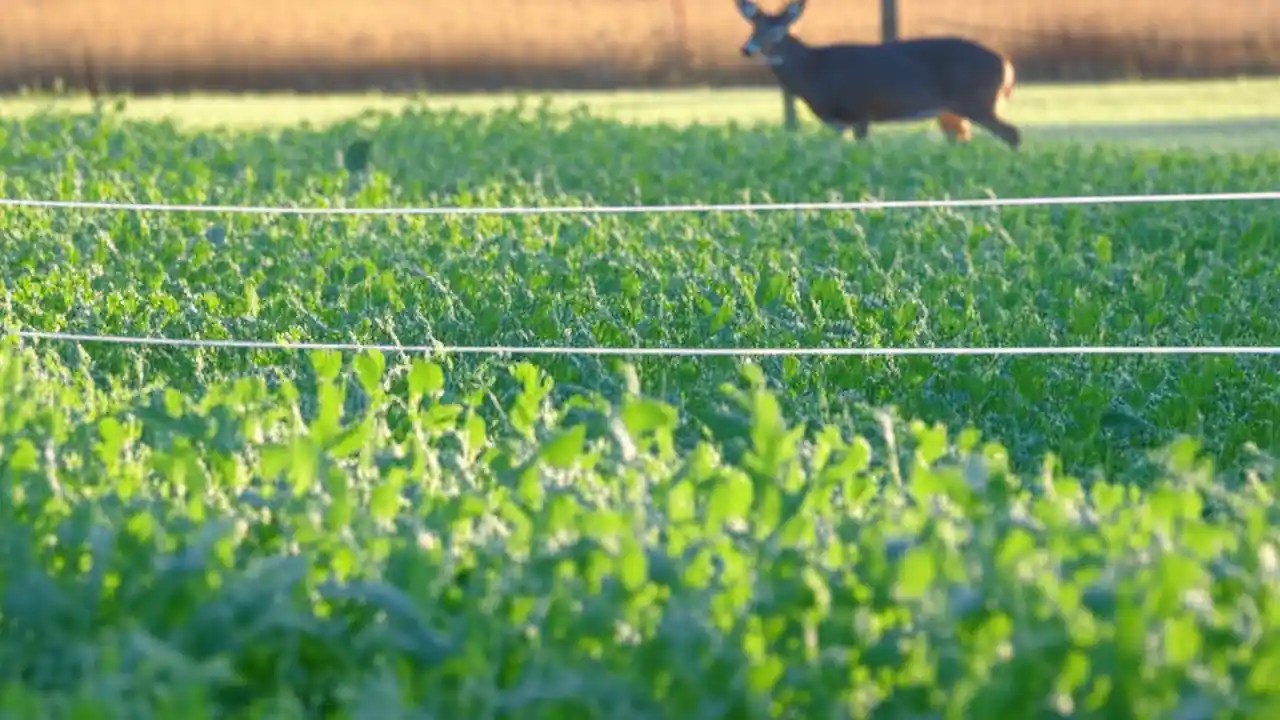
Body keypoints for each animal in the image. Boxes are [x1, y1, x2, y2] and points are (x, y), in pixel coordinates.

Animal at [734, 0, 1020, 150]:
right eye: (753, 28)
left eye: (778, 31)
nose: (747, 49)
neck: (813, 71)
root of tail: (1006, 64)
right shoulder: (840, 122)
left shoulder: (860, 110)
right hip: (955, 112)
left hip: (977, 101)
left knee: (1012, 133)